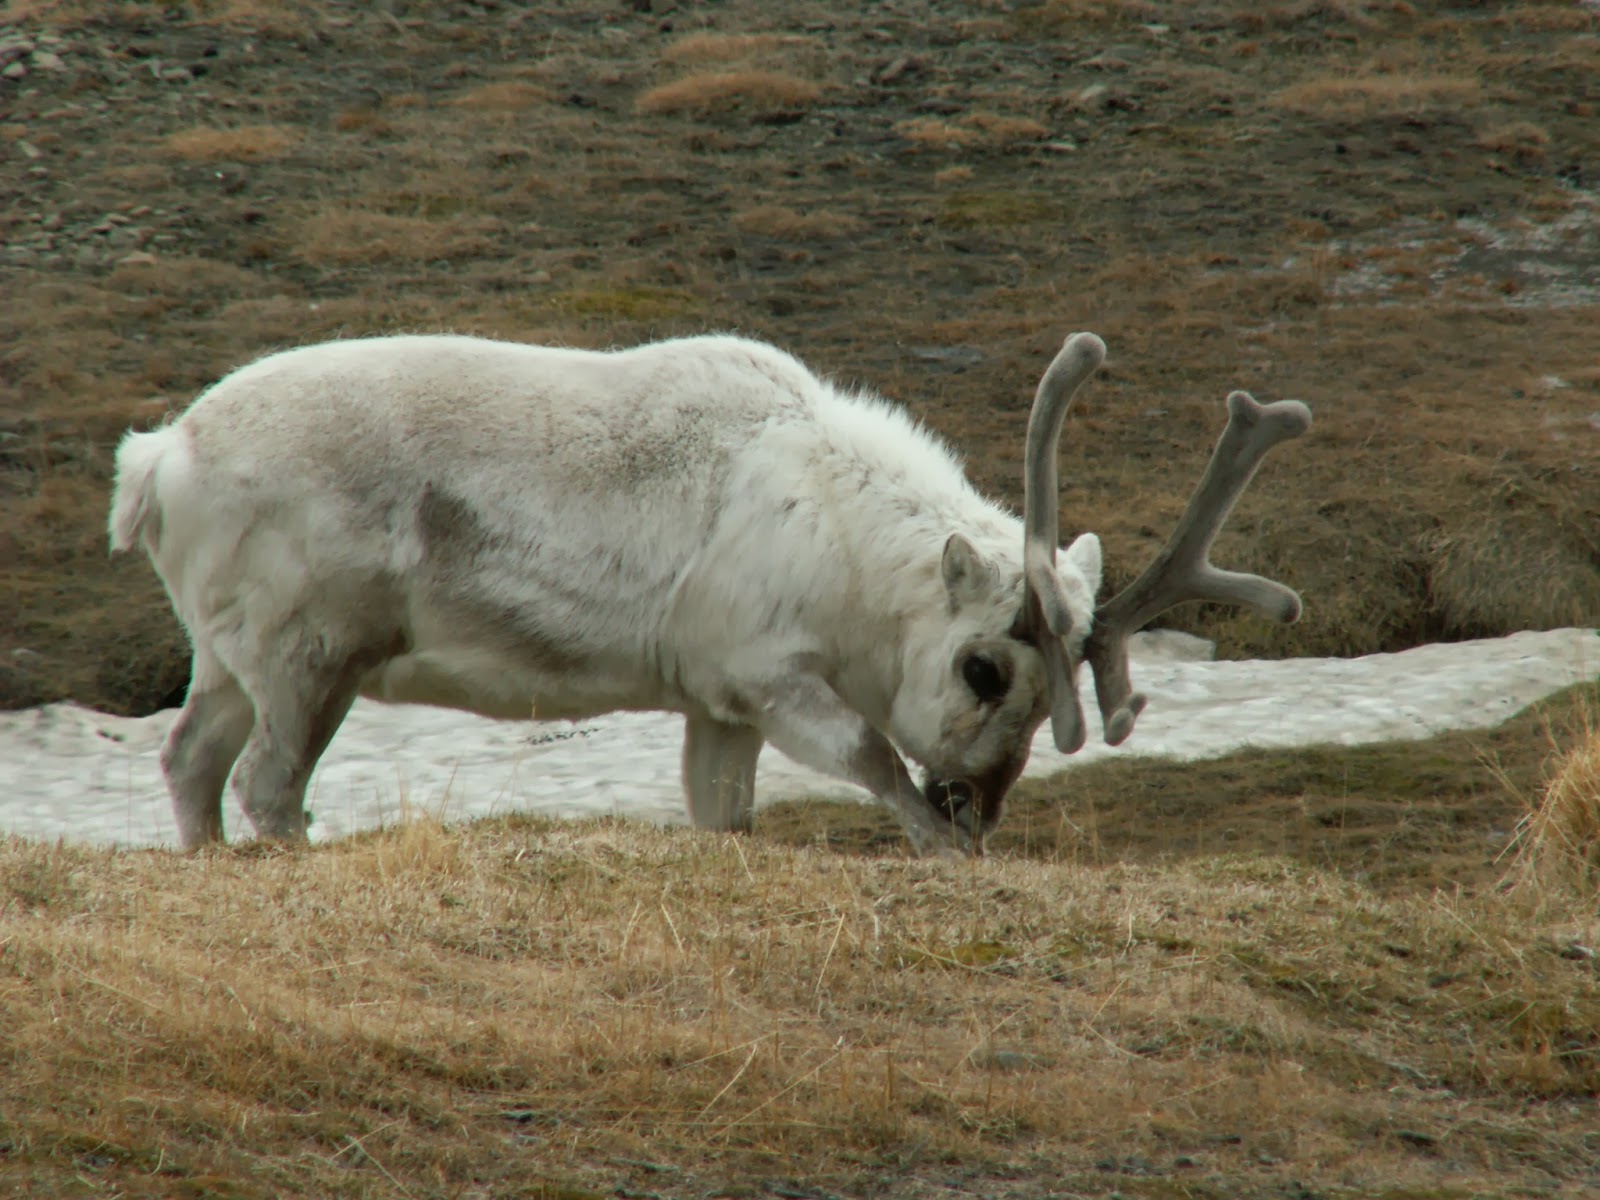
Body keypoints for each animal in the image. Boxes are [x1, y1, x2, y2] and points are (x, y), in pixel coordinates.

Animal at [108, 330, 1310, 855]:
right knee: (266, 784)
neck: (844, 547)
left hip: (228, 656)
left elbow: (722, 815)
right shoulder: (768, 673)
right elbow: (874, 762)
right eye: (984, 670)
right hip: (309, 653)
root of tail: (156, 461)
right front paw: (933, 843)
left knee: (189, 760)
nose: (980, 807)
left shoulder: (713, 704)